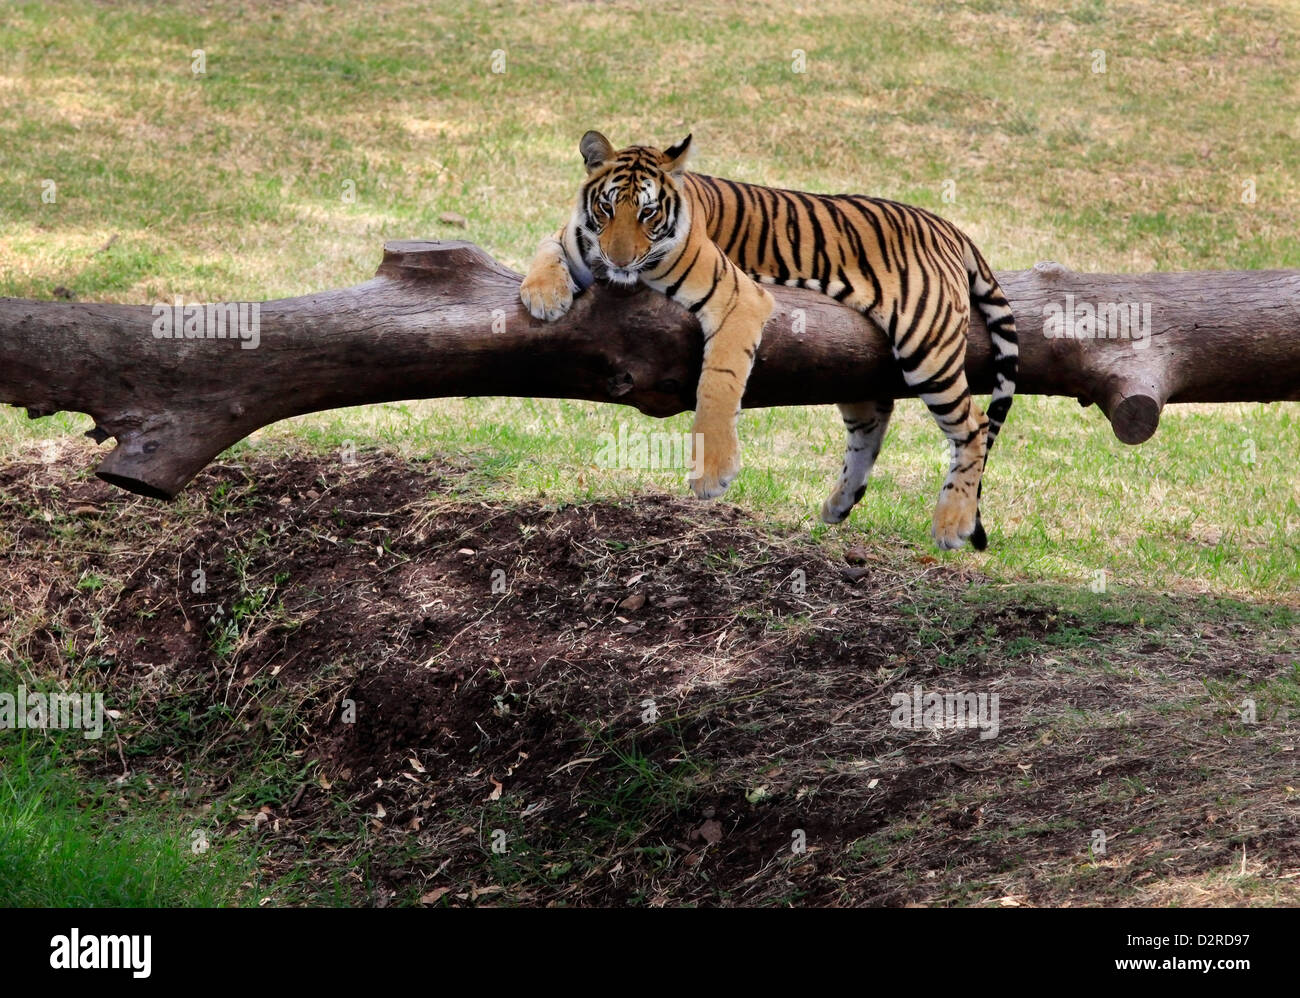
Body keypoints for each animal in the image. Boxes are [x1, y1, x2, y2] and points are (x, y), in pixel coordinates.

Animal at [520, 131, 1019, 550]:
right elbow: (546, 245)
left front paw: (711, 474)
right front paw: (543, 294)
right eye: (607, 209)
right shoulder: (574, 240)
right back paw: (839, 504)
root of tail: (949, 227)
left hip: (927, 345)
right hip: (852, 362)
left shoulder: (739, 297)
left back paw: (952, 524)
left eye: (648, 212)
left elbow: (718, 382)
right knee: (872, 420)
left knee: (973, 427)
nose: (619, 259)